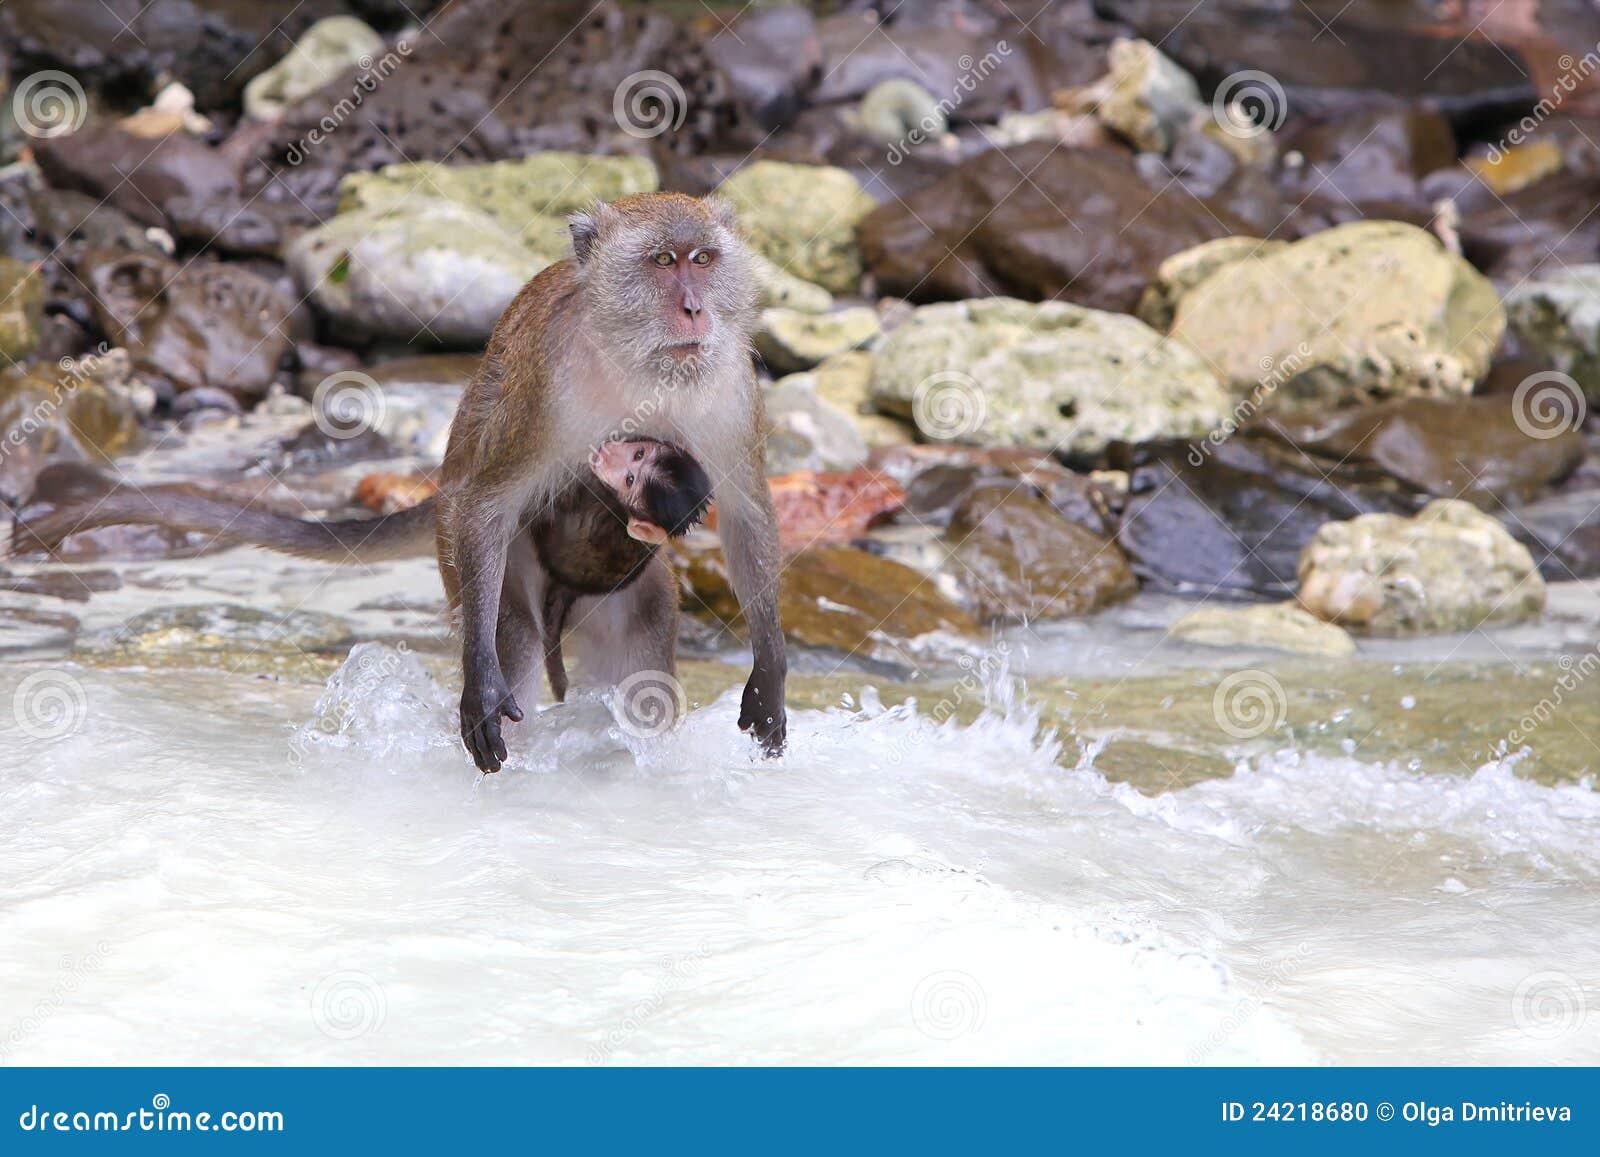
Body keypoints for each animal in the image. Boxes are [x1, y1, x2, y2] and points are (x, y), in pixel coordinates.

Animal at [10, 191, 789, 774]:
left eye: (704, 259)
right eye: (662, 261)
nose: (694, 308)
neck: (638, 360)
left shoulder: (728, 382)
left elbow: (746, 513)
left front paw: (772, 675)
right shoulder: (547, 387)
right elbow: (490, 502)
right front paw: (481, 688)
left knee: (643, 656)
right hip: (464, 557)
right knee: (510, 620)